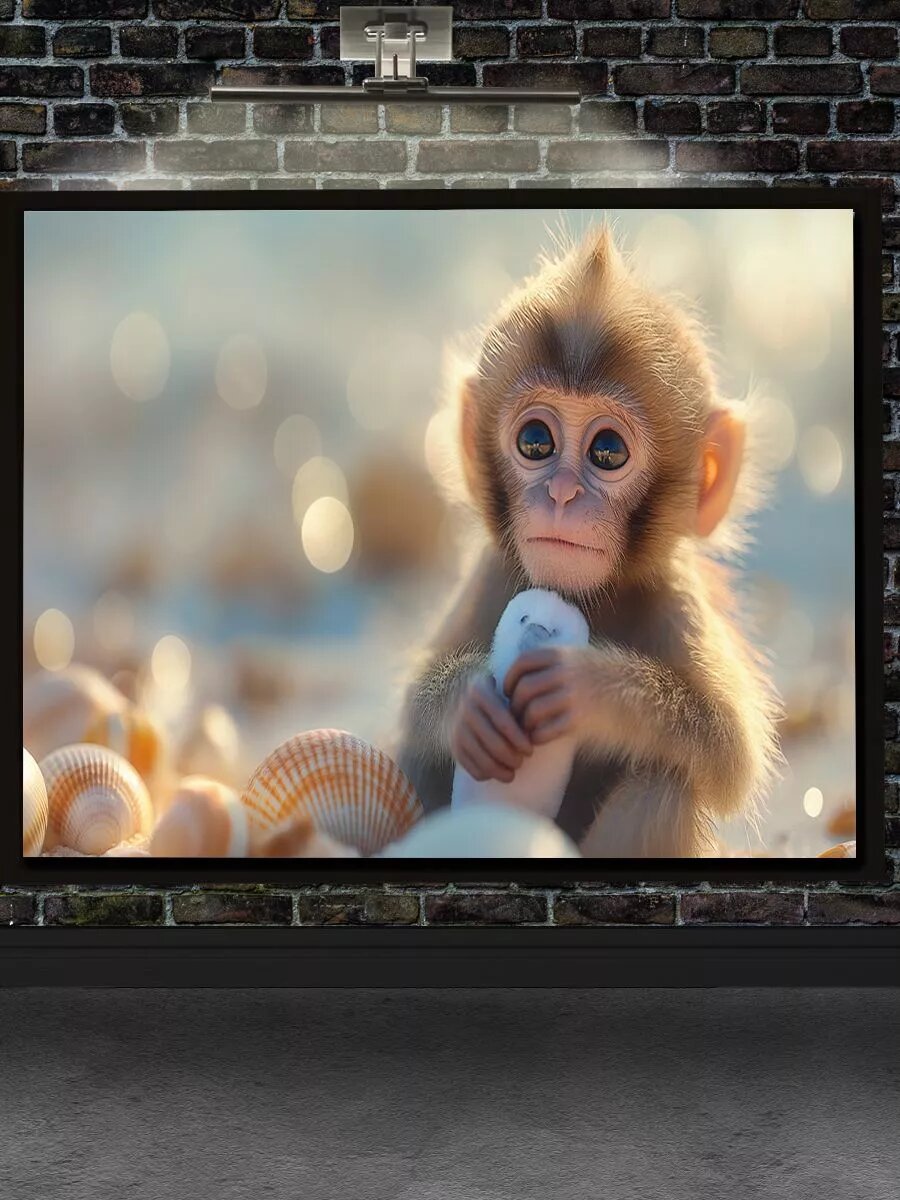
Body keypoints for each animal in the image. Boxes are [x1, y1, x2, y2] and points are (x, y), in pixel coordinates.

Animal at [391, 223, 781, 858]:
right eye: (535, 440)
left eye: (608, 451)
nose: (562, 494)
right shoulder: (493, 571)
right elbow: (409, 712)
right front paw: (470, 702)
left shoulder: (675, 596)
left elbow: (732, 754)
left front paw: (586, 688)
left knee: (664, 787)